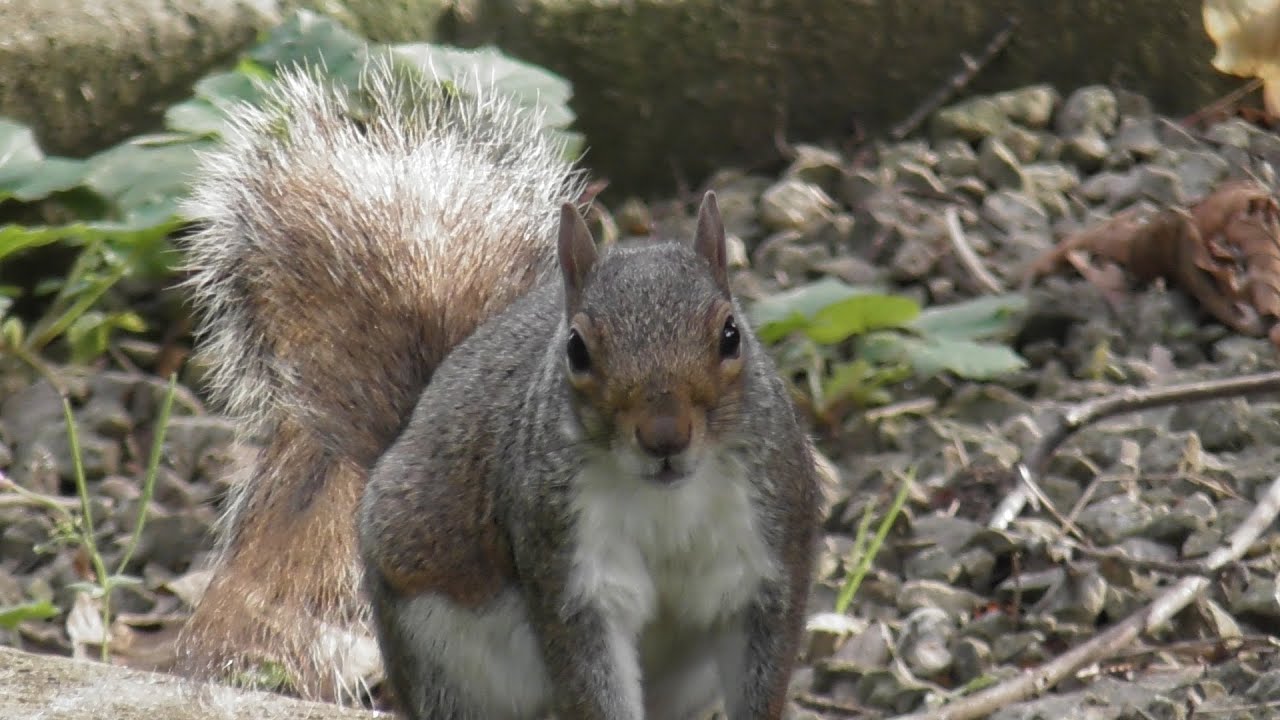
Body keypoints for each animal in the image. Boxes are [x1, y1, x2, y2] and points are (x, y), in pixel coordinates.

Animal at [177, 60, 820, 719]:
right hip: (443, 656)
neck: (667, 499)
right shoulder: (566, 563)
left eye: (731, 334)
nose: (664, 436)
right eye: (576, 348)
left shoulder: (771, 551)